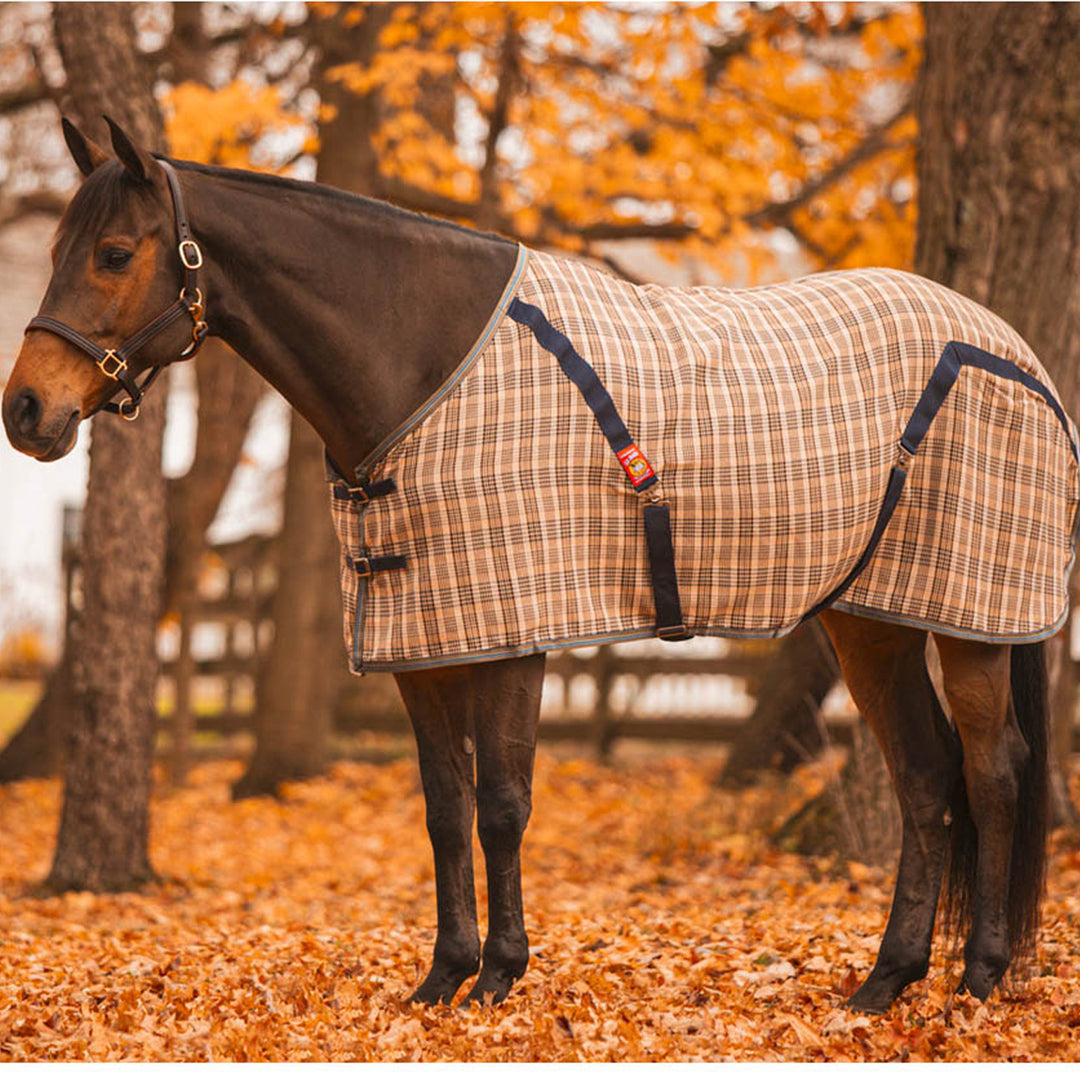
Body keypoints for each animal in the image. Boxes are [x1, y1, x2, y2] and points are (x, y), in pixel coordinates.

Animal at [2, 117, 1068, 1014]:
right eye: (53, 254)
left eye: (114, 253)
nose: (26, 412)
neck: (426, 371)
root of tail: (1018, 352)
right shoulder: (425, 643)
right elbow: (444, 810)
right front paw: (443, 977)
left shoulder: (514, 637)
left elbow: (503, 806)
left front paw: (499, 977)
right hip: (872, 620)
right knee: (925, 777)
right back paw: (886, 982)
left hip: (973, 620)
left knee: (994, 771)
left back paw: (979, 979)